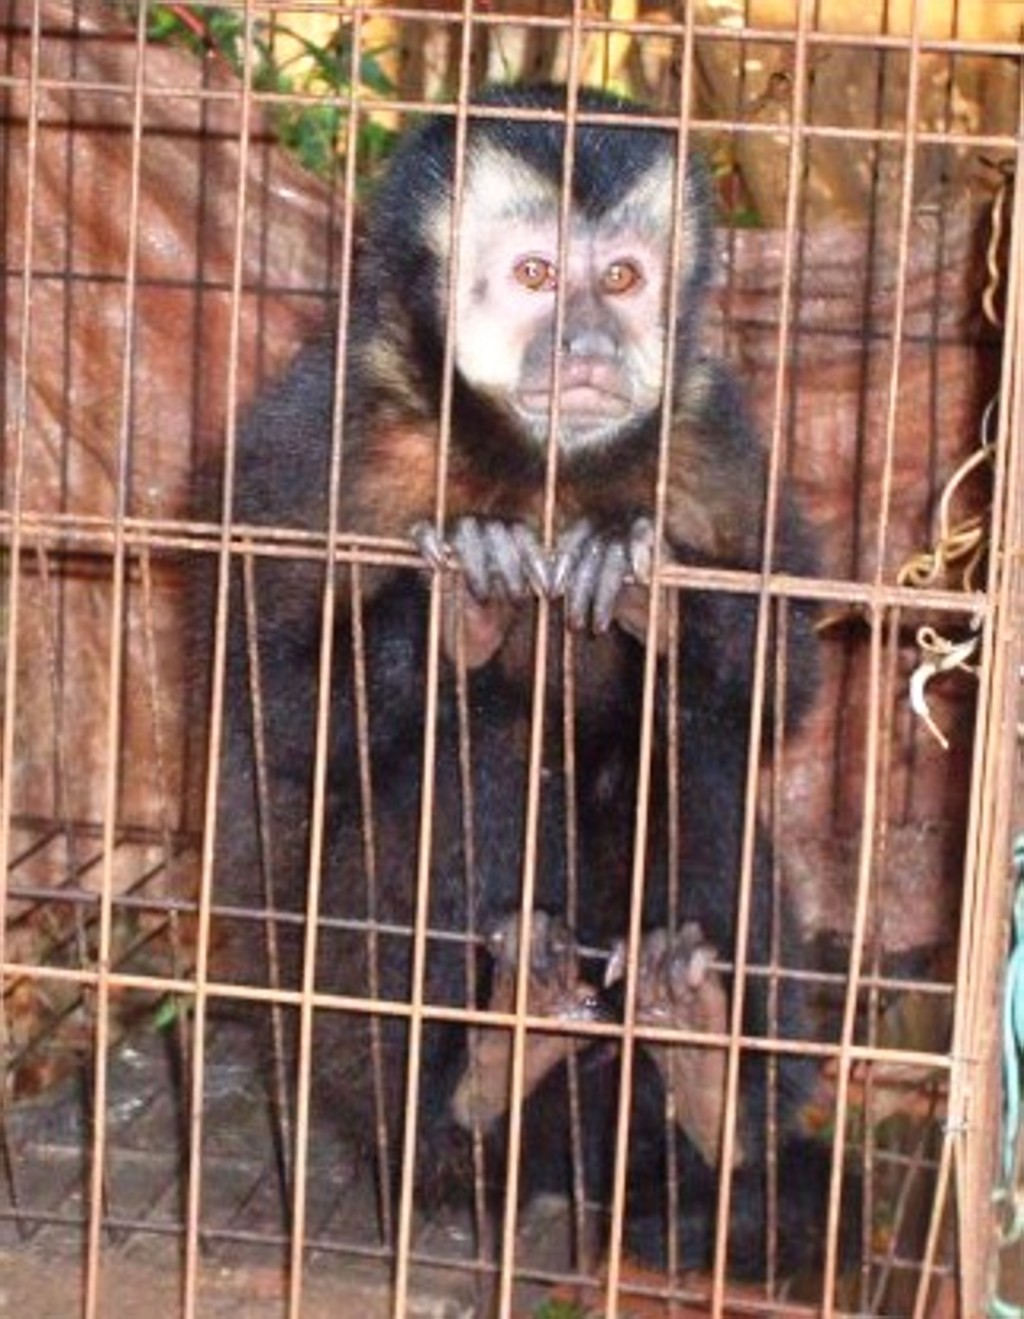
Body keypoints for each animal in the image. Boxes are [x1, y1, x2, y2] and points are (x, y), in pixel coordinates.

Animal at [197, 84, 836, 1280]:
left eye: (622, 278)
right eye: (538, 274)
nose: (585, 343)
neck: (538, 466)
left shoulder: (709, 441)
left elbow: (778, 691)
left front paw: (644, 578)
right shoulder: (323, 442)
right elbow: (278, 708)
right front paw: (462, 599)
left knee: (682, 747)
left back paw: (709, 1090)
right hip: (344, 1053)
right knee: (474, 739)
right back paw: (482, 1078)